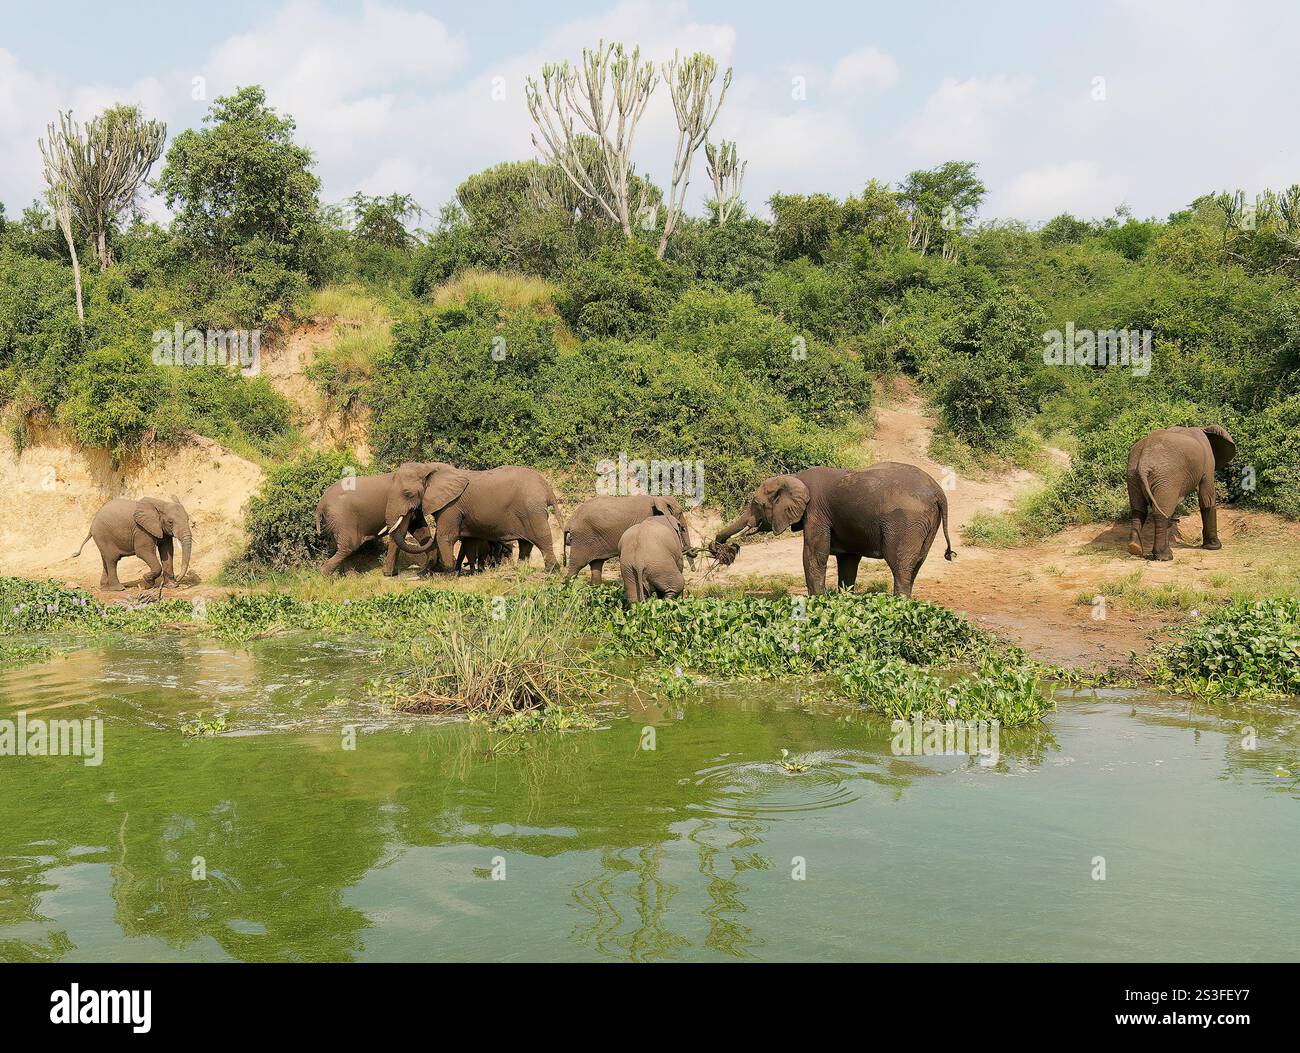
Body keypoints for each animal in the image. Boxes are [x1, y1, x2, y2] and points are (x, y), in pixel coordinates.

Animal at [389, 463, 561, 572]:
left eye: (407, 493)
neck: (428, 467)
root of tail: (547, 489)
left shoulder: (451, 505)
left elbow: (446, 536)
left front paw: (447, 573)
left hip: (533, 510)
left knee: (542, 537)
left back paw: (553, 570)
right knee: (525, 543)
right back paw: (520, 569)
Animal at [715, 462, 954, 598]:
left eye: (756, 504)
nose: (718, 548)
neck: (795, 477)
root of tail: (939, 492)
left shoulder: (816, 513)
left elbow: (813, 555)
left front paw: (816, 601)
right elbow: (847, 560)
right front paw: (843, 600)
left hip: (906, 523)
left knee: (900, 564)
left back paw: (899, 603)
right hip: (926, 524)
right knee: (916, 564)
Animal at [1127, 425, 1236, 561]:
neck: (1204, 428)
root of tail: (1143, 463)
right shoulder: (1208, 462)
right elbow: (1207, 497)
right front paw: (1214, 547)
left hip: (1133, 475)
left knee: (1138, 510)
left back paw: (1134, 548)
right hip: (1166, 477)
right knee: (1161, 512)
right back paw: (1165, 556)